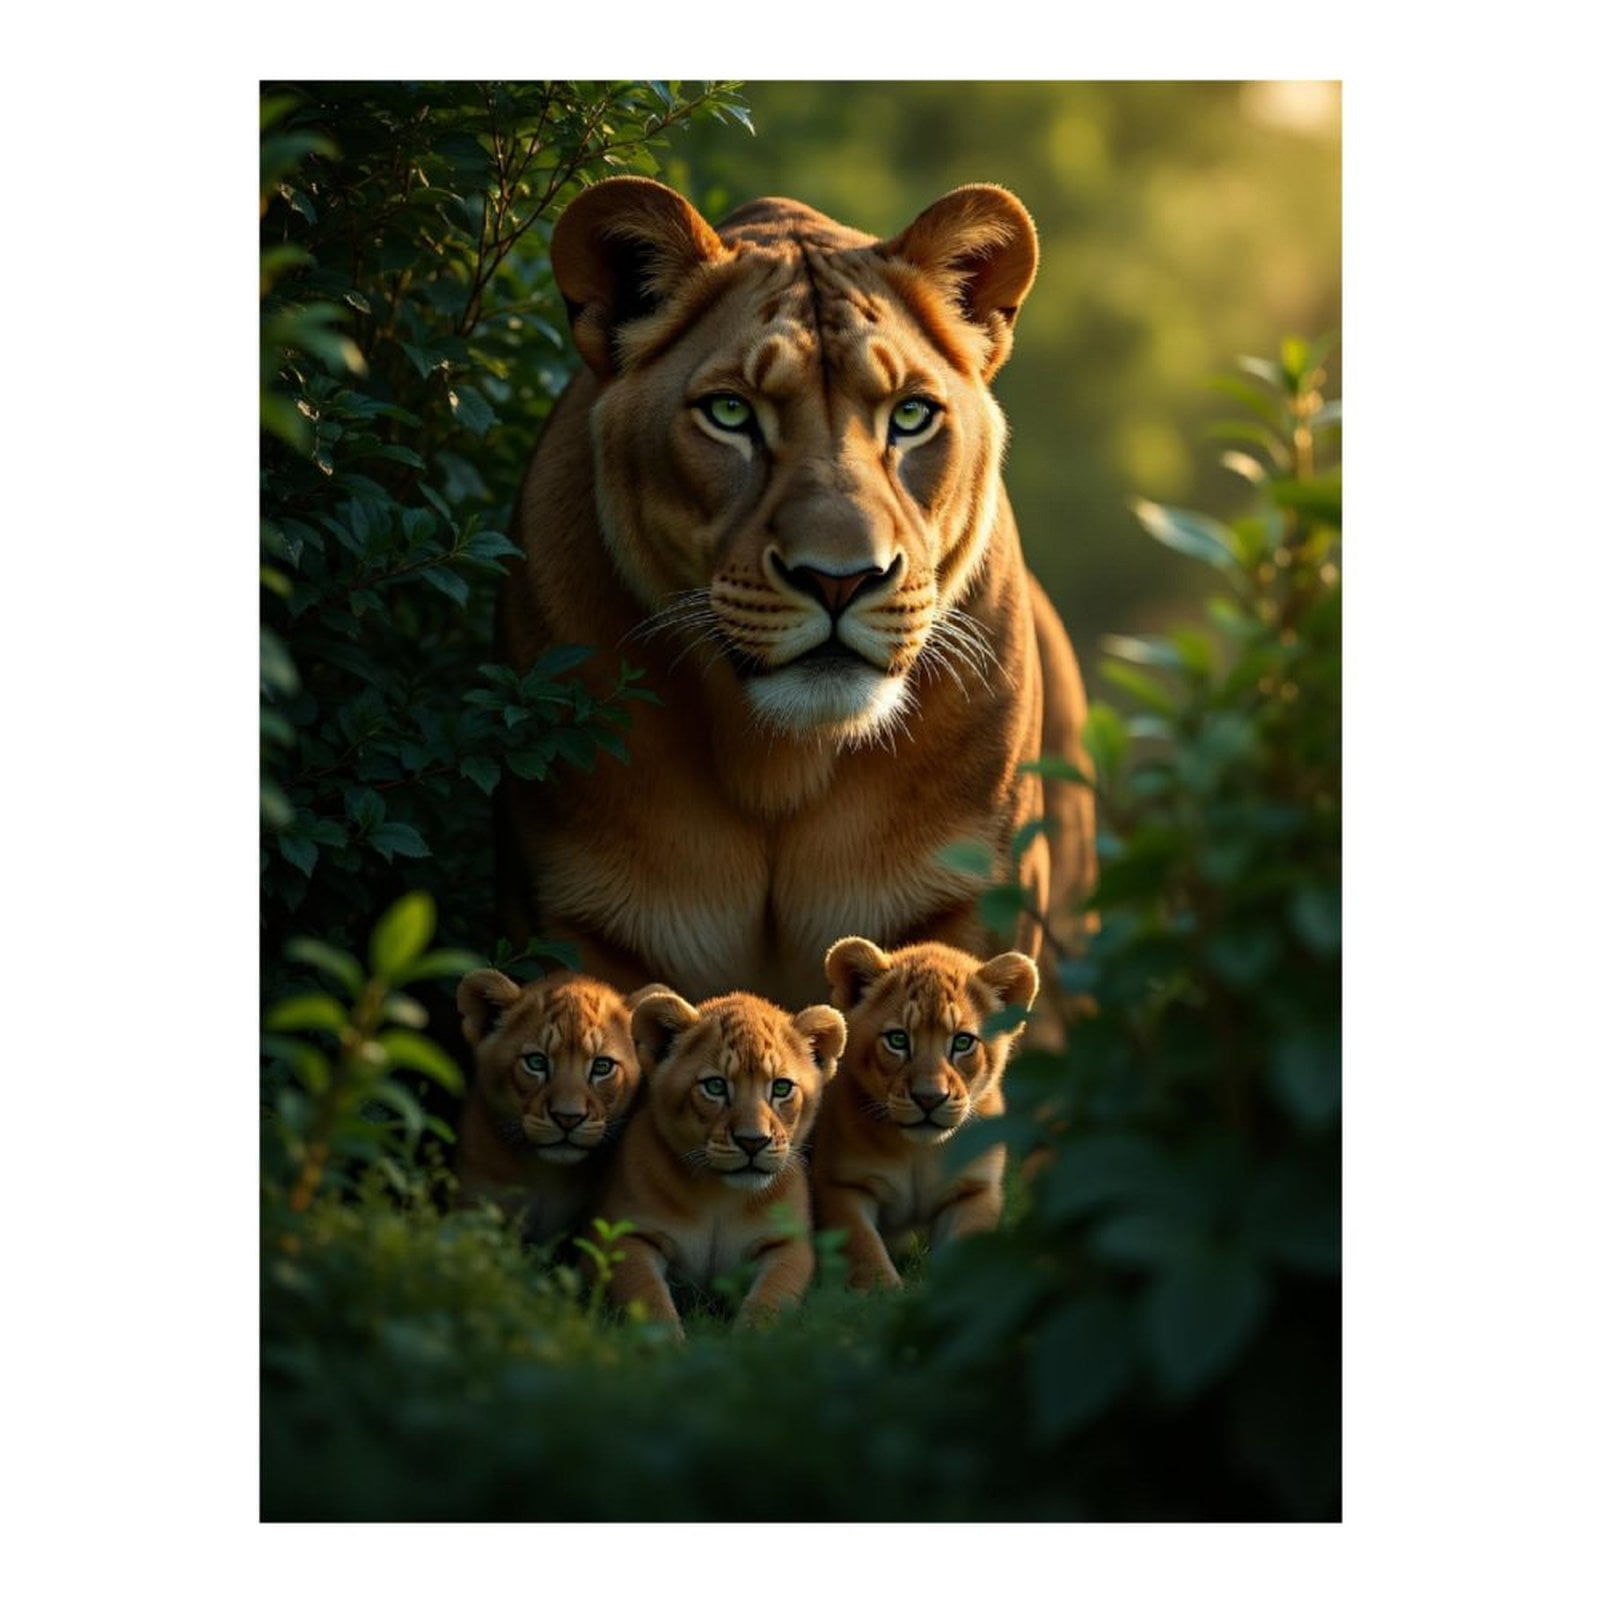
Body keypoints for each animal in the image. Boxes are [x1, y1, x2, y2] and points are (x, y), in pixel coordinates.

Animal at [498, 177, 1095, 1013]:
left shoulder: (969, 901)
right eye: (730, 413)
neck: (779, 768)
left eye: (911, 415)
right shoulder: (580, 915)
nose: (839, 577)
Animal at [591, 989, 846, 1336]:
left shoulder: (789, 1244)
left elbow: (773, 1295)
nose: (753, 1141)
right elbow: (646, 1295)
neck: (719, 1194)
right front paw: (665, 1342)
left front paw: (747, 1339)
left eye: (781, 1087)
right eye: (715, 1086)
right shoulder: (624, 1235)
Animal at [809, 937, 1039, 1290]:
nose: (929, 1098)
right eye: (898, 1039)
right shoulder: (842, 1186)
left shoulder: (973, 1190)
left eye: (963, 1042)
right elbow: (864, 1250)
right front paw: (885, 1294)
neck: (919, 1150)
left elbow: (968, 1253)